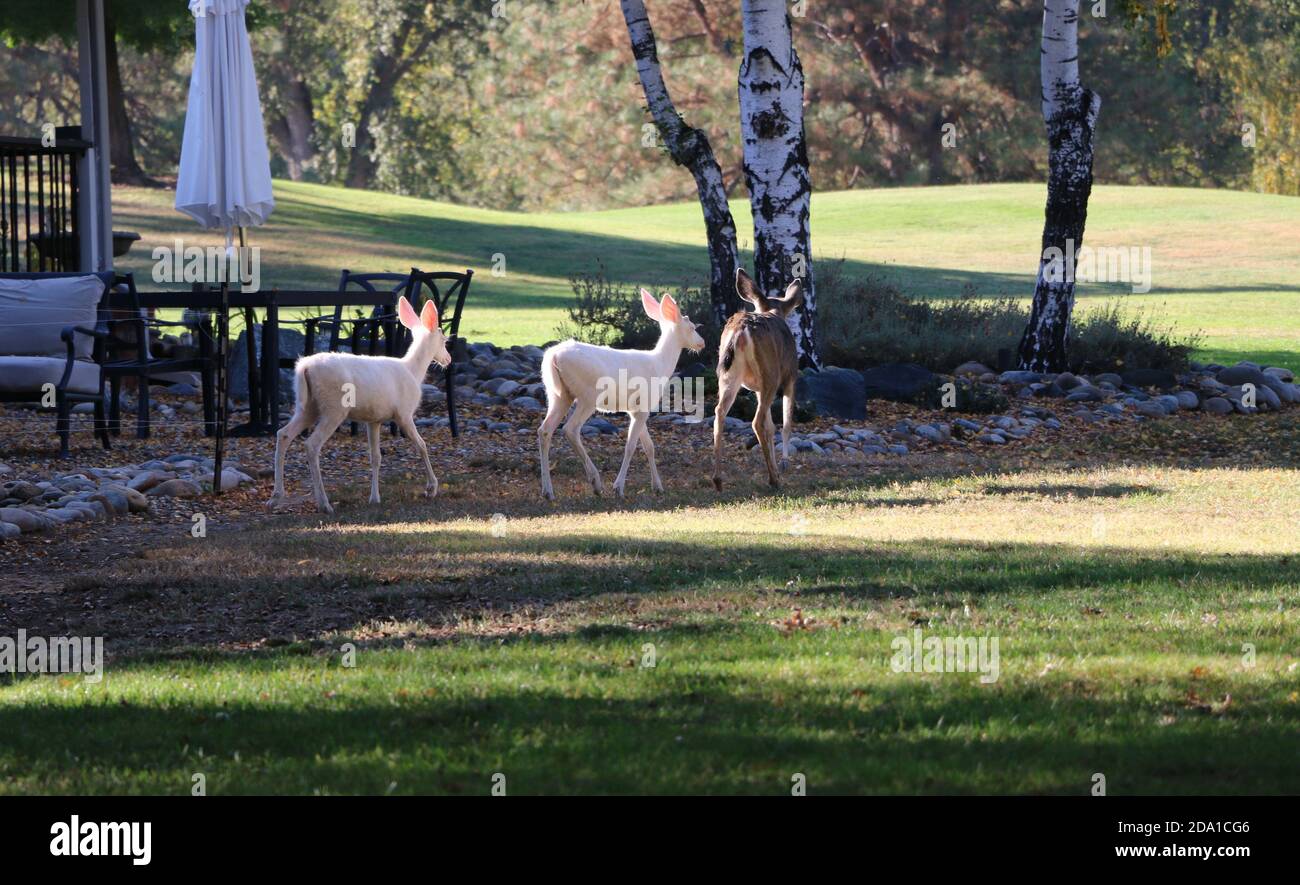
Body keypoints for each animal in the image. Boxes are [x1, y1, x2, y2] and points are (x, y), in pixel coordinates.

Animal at [268, 295, 450, 514]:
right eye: (444, 340)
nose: (448, 359)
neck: (414, 371)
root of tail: (304, 368)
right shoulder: (404, 413)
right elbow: (421, 445)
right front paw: (431, 488)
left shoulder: (374, 419)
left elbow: (376, 457)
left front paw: (375, 498)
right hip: (334, 407)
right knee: (312, 444)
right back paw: (324, 503)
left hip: (307, 406)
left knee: (283, 434)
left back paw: (276, 498)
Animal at [539, 289, 705, 500]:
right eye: (692, 327)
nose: (702, 343)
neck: (660, 365)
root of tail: (553, 356)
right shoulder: (644, 405)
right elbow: (631, 446)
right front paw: (618, 488)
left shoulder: (636, 409)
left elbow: (649, 446)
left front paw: (658, 486)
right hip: (588, 394)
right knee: (570, 429)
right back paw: (596, 483)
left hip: (557, 394)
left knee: (544, 430)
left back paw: (548, 491)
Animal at [713, 268, 803, 491]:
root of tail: (740, 330)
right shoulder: (790, 377)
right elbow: (786, 424)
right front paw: (784, 464)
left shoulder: (758, 389)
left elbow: (772, 427)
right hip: (771, 374)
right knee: (757, 421)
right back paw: (773, 479)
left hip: (728, 375)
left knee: (719, 412)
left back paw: (718, 480)